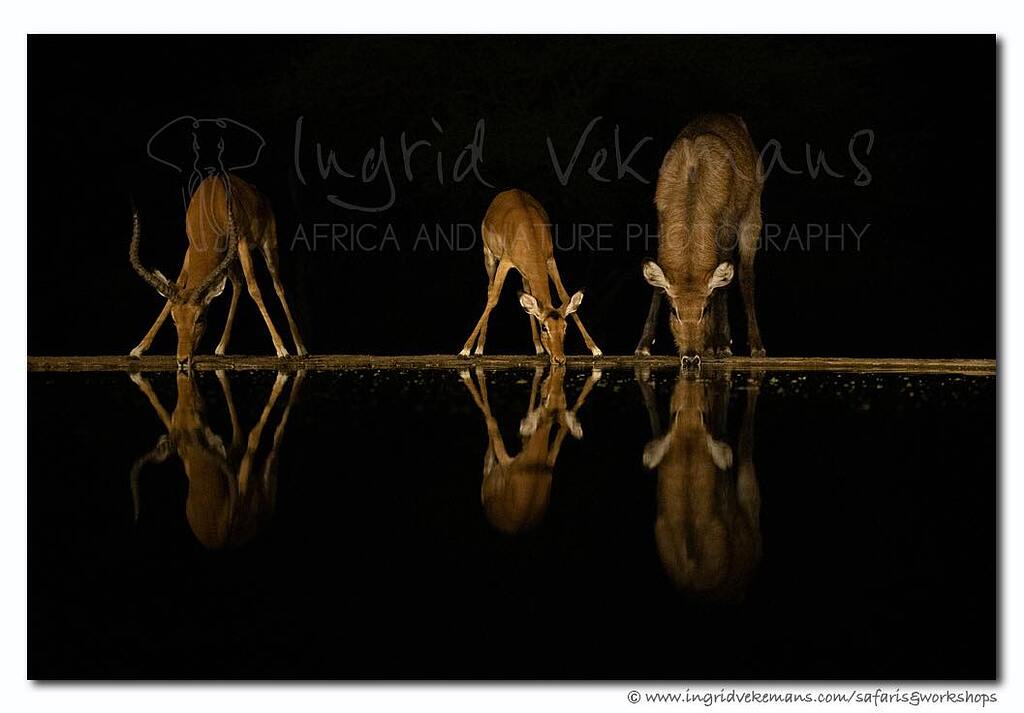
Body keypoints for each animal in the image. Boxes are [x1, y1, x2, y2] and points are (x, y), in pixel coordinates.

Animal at [129, 173, 307, 370]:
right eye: (174, 319)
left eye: (199, 318)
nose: (182, 360)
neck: (211, 202)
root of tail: (260, 195)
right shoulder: (191, 249)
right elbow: (174, 291)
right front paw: (138, 349)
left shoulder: (242, 241)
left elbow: (254, 289)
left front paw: (281, 349)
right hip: (229, 259)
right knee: (238, 283)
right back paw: (221, 347)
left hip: (268, 246)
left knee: (278, 286)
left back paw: (300, 348)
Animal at [129, 369, 304, 549]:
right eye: (175, 416)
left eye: (199, 417)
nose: (183, 372)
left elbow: (253, 438)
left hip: (267, 478)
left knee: (274, 440)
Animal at [460, 189, 602, 364]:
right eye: (544, 327)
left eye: (565, 326)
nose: (559, 358)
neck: (529, 234)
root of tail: (507, 192)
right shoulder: (506, 261)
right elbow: (494, 298)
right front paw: (465, 350)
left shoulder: (549, 260)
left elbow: (565, 296)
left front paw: (595, 349)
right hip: (489, 258)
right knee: (490, 290)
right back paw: (479, 349)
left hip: (525, 273)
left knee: (527, 292)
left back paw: (539, 348)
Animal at [460, 366, 600, 534]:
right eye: (545, 399)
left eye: (564, 399)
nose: (549, 386)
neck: (533, 468)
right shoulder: (507, 463)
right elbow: (492, 421)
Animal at [635, 114, 765, 367]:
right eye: (674, 310)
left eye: (704, 309)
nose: (691, 357)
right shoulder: (661, 225)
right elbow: (657, 285)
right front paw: (643, 345)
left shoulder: (726, 227)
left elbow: (722, 286)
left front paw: (722, 343)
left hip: (752, 214)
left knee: (746, 275)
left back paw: (755, 346)